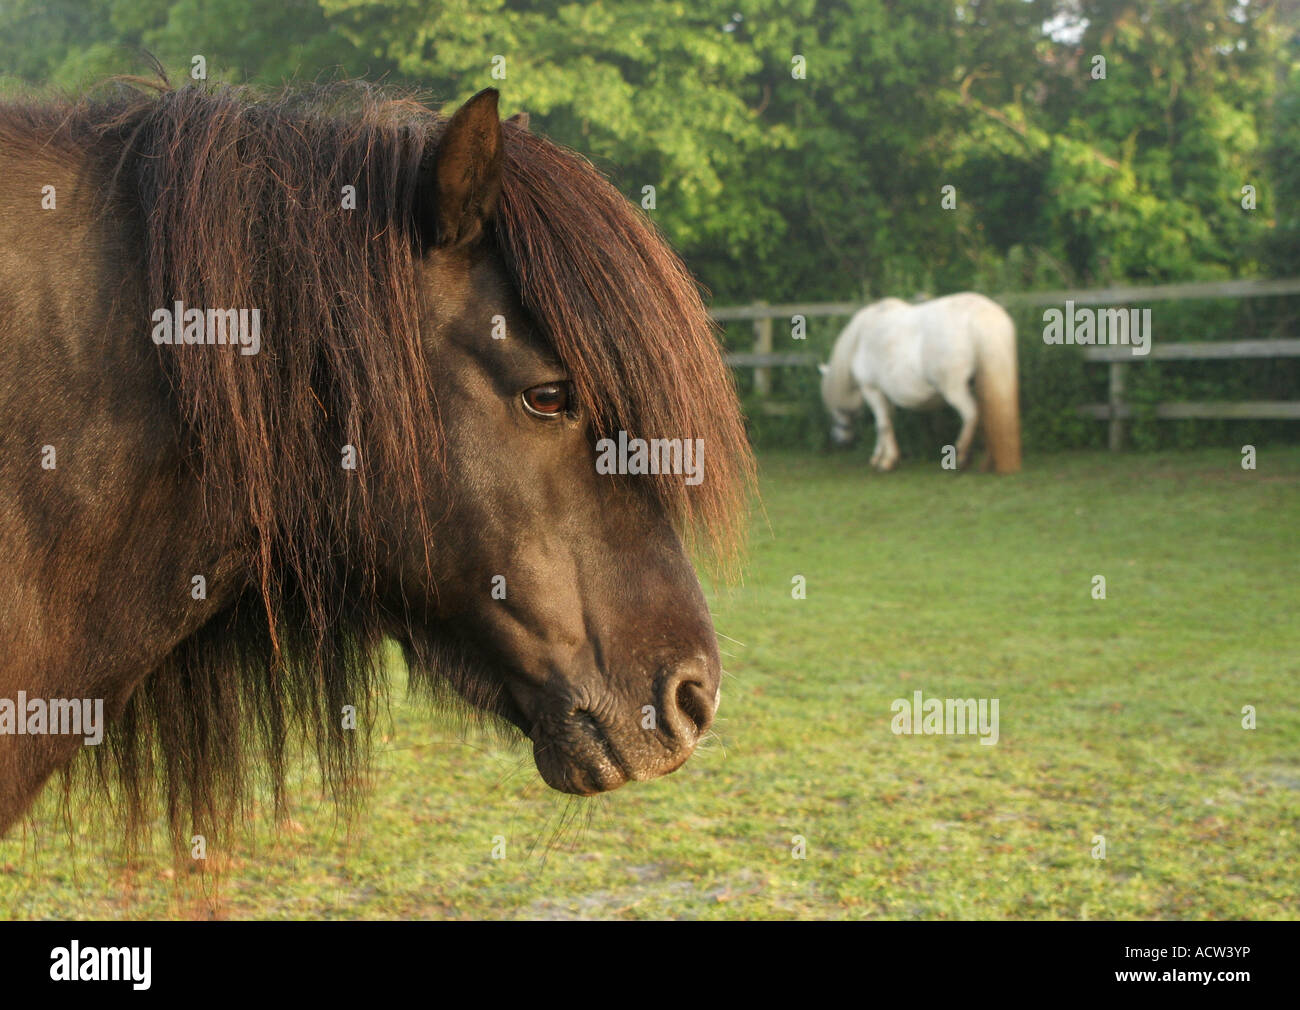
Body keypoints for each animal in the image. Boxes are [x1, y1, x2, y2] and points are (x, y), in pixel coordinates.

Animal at [819, 293, 1021, 473]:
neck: (859, 339)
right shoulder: (884, 393)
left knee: (971, 414)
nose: (838, 440)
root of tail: (980, 317)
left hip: (954, 390)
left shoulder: (871, 389)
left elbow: (882, 424)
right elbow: (886, 422)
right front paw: (878, 457)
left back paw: (962, 457)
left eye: (833, 410)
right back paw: (987, 463)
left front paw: (887, 462)